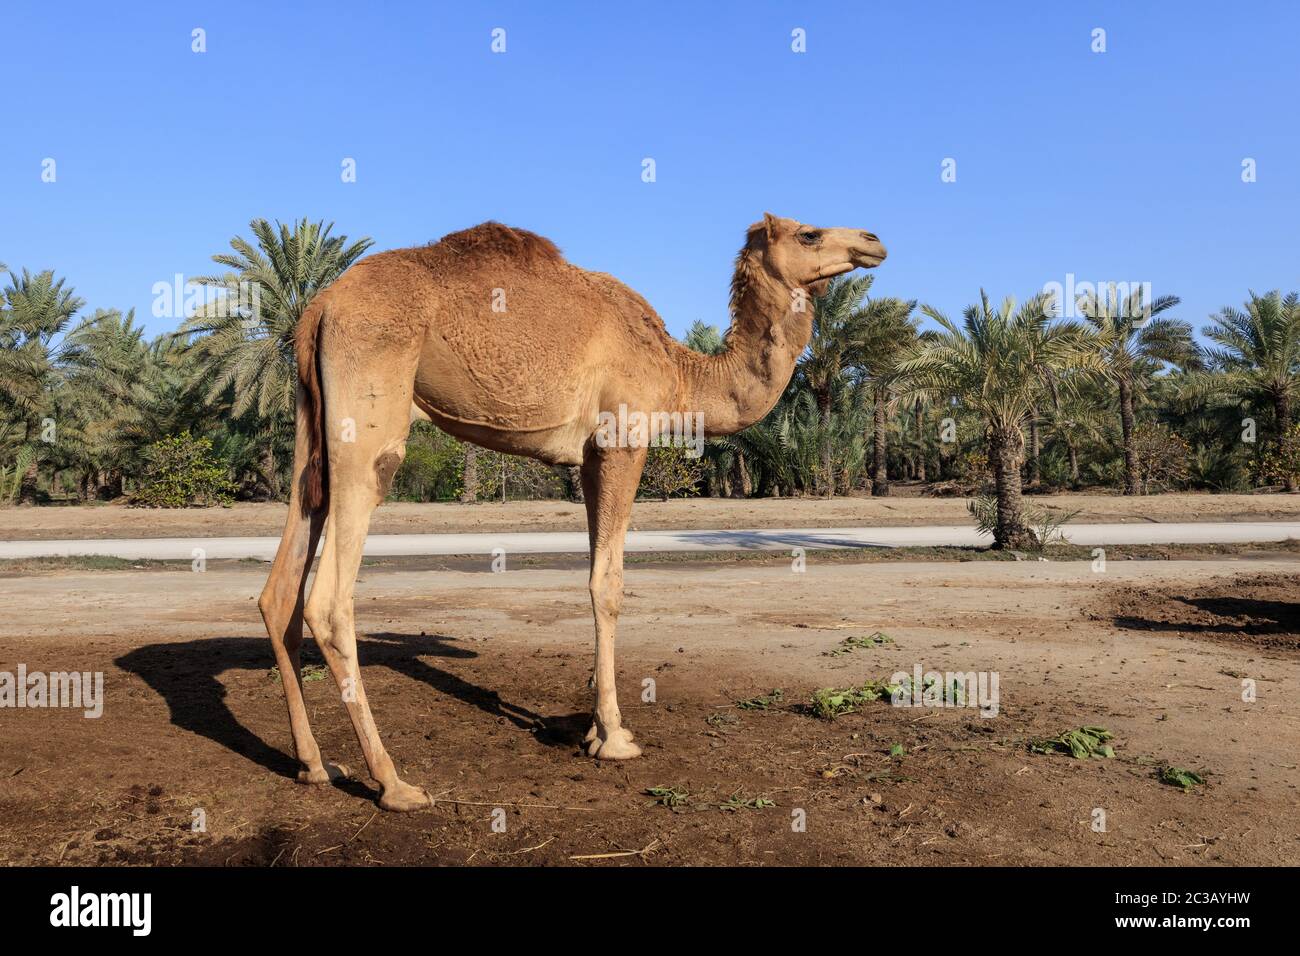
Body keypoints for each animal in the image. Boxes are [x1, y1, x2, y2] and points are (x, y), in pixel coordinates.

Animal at [258, 213, 886, 810]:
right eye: (809, 233)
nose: (874, 241)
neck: (680, 372)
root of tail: (318, 308)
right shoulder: (621, 438)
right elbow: (607, 584)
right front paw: (613, 736)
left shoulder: (587, 457)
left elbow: (592, 572)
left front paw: (591, 726)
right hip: (370, 414)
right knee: (329, 599)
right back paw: (394, 783)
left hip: (311, 429)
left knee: (280, 588)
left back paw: (314, 765)